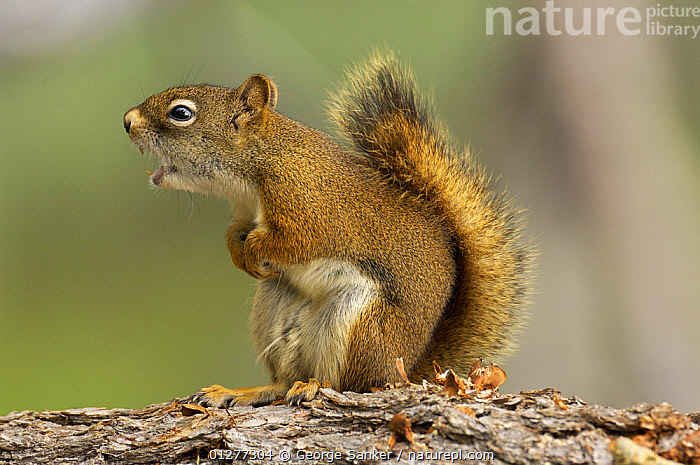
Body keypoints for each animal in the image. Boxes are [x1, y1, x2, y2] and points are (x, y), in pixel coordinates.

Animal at [123, 51, 530, 407]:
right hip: (275, 305)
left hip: (358, 323)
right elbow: (236, 231)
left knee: (348, 383)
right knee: (282, 380)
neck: (259, 165)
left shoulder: (308, 207)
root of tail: (404, 369)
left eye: (181, 113)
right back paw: (247, 391)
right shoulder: (243, 211)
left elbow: (294, 243)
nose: (127, 121)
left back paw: (315, 386)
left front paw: (254, 247)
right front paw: (238, 251)